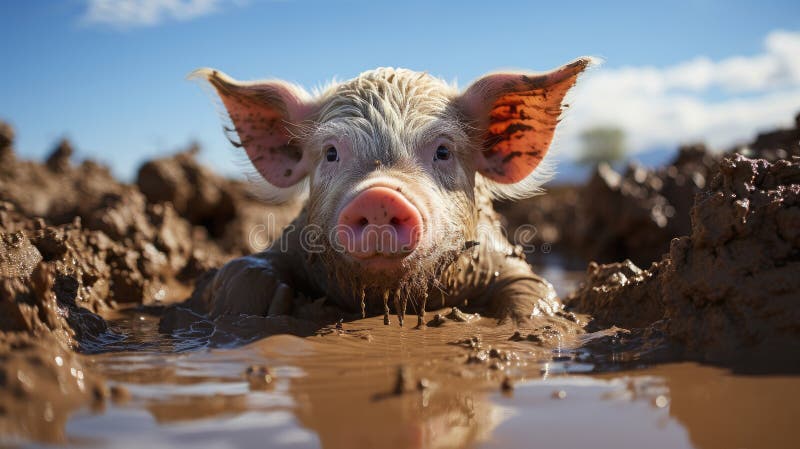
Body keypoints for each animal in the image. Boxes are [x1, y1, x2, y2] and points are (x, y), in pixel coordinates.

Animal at [189, 58, 593, 327]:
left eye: (443, 151)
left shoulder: (500, 255)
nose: (379, 196)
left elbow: (531, 289)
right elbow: (245, 272)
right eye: (331, 153)